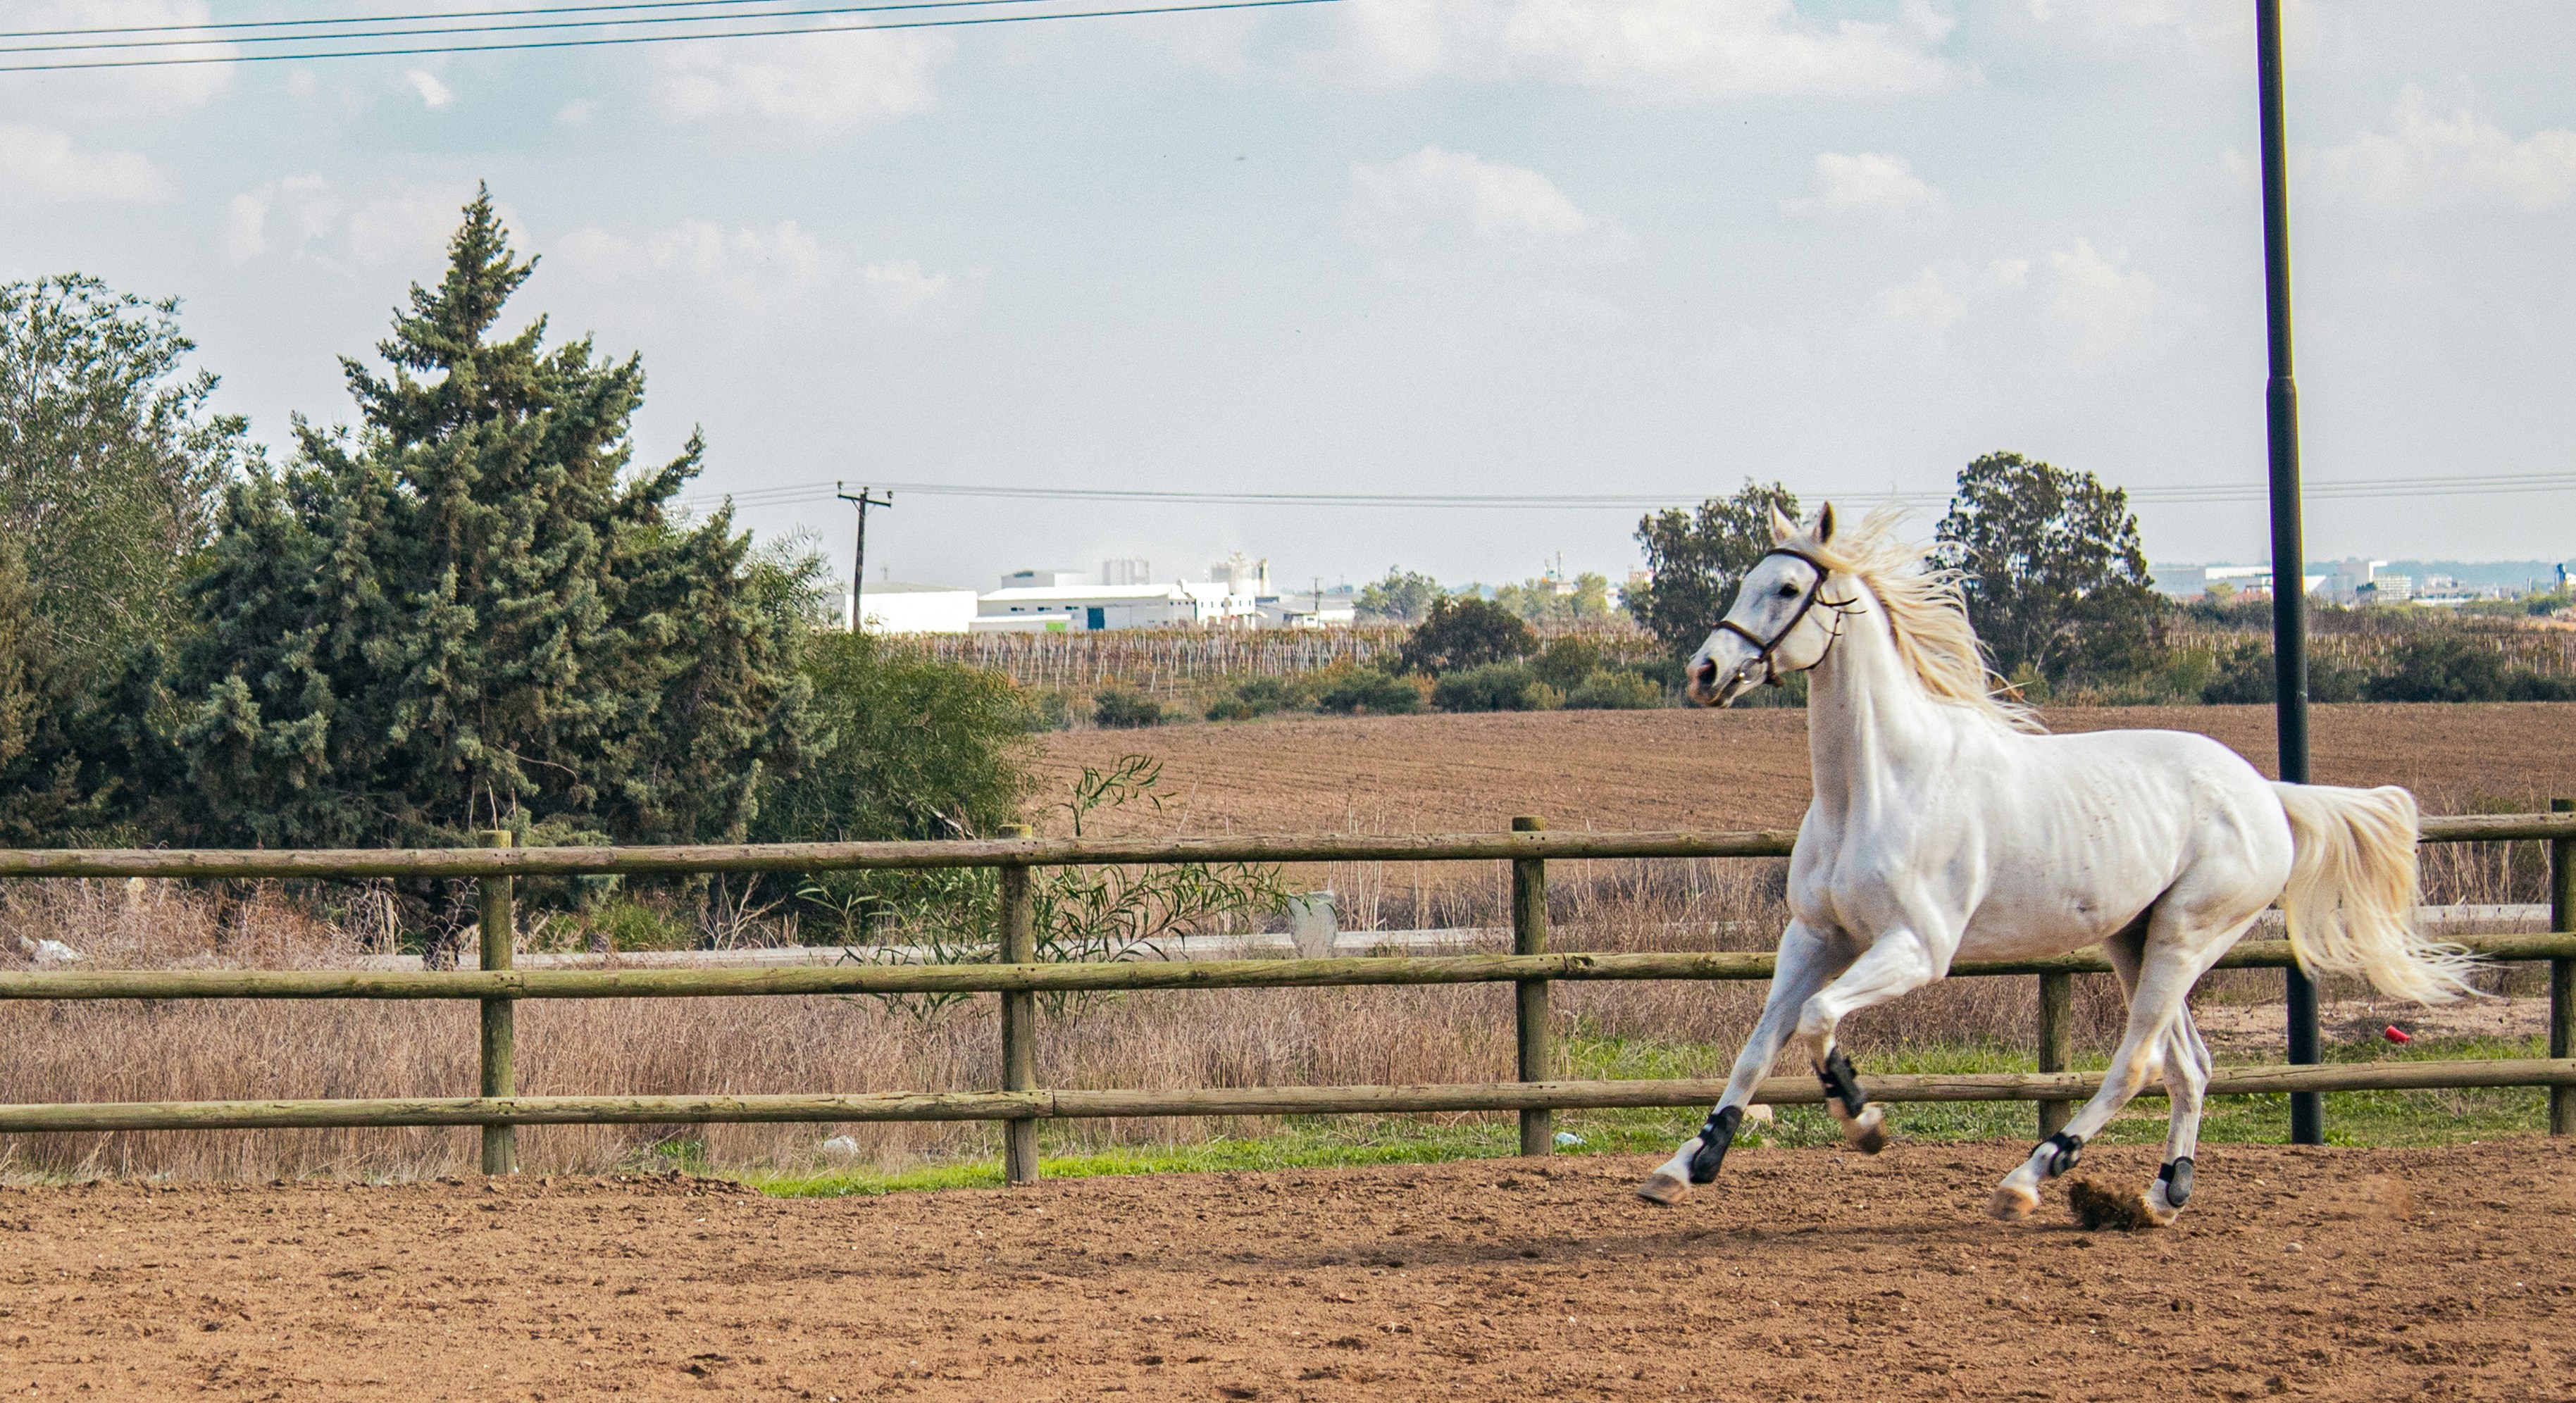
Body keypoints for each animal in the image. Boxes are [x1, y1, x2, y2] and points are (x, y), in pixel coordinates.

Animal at [1632, 504, 2477, 1224]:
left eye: (1786, 587)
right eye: (1744, 579)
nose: (1705, 672)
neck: (1876, 784)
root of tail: (2265, 793)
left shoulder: (1917, 950)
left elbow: (1816, 1019)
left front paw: (1863, 1119)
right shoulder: (1813, 936)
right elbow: (1759, 1043)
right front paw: (1685, 1166)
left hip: (2187, 937)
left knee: (2139, 1065)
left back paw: (2030, 1179)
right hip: (2135, 941)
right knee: (2190, 1066)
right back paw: (2162, 1194)